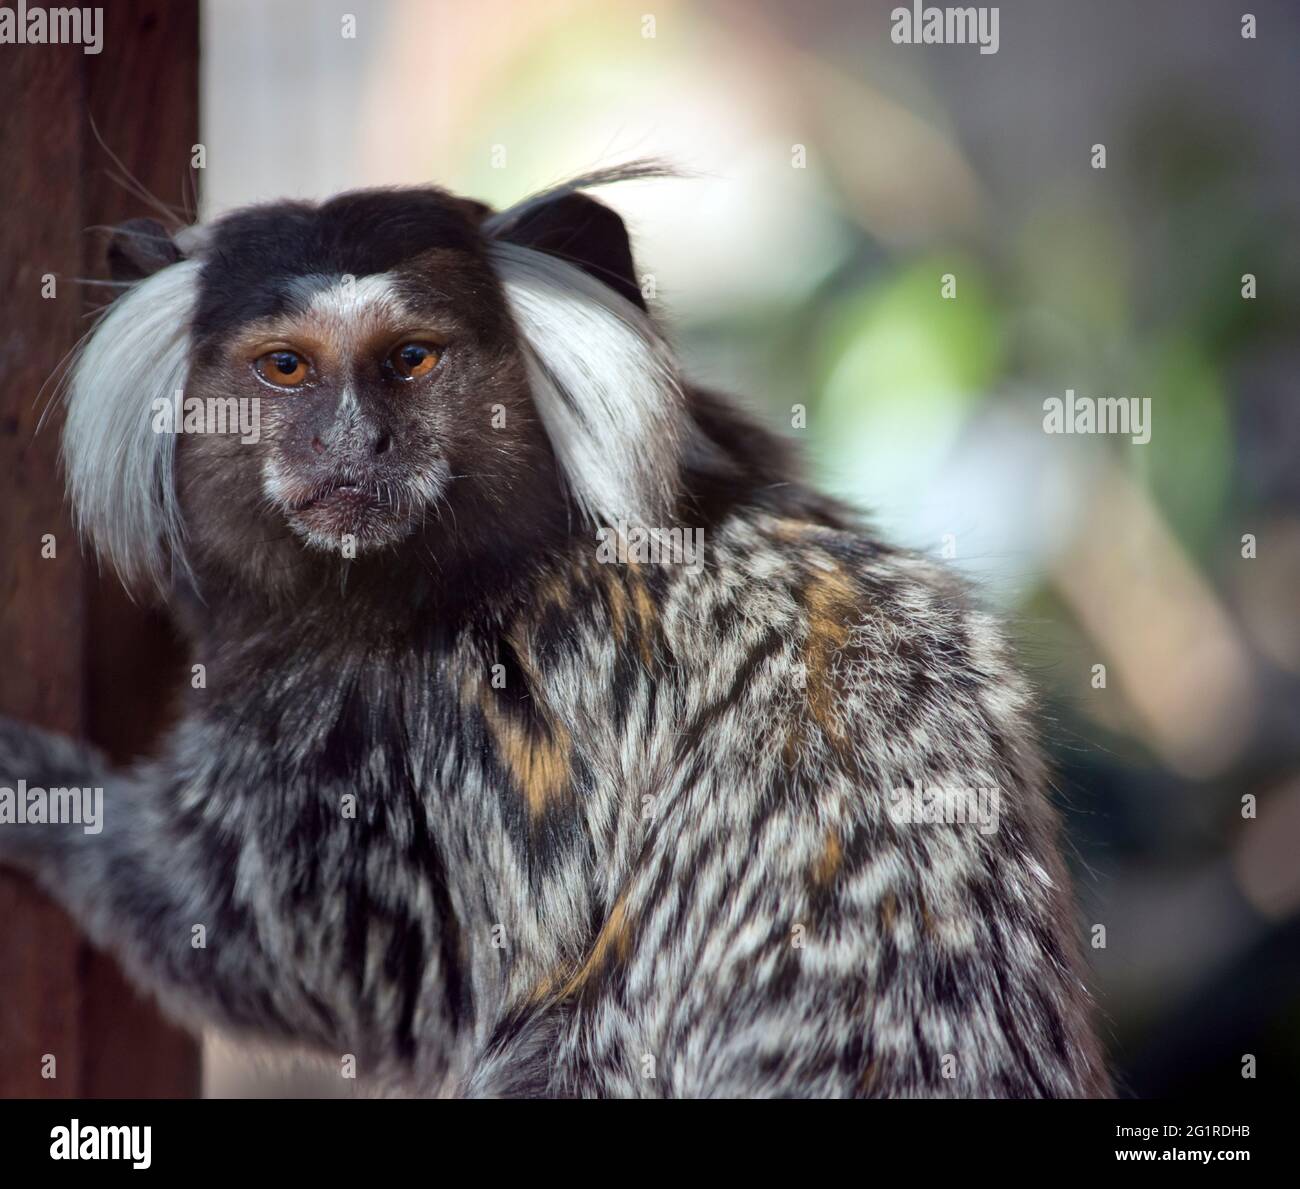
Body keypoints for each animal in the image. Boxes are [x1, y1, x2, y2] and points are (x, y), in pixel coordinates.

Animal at [0, 165, 1111, 1098]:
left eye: (411, 359)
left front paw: (48, 800)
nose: (354, 446)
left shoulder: (410, 730)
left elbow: (285, 947)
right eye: (284, 368)